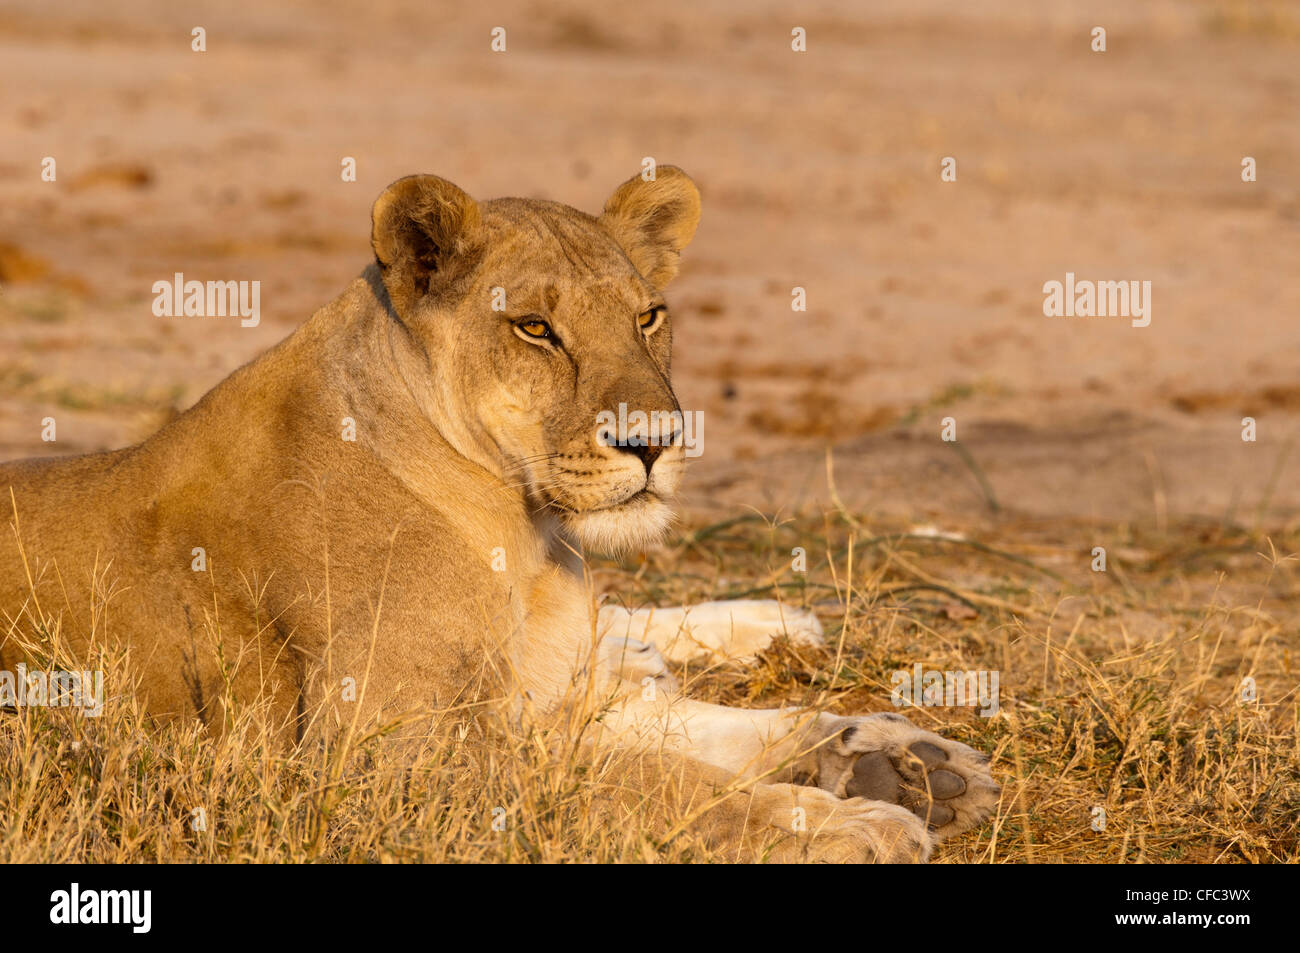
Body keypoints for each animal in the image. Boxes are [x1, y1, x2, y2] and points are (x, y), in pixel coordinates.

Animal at [0, 167, 999, 862]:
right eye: (535, 329)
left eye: (649, 315)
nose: (656, 441)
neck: (522, 536)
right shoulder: (391, 759)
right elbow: (647, 781)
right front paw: (842, 820)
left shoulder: (520, 704)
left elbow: (680, 736)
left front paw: (884, 761)